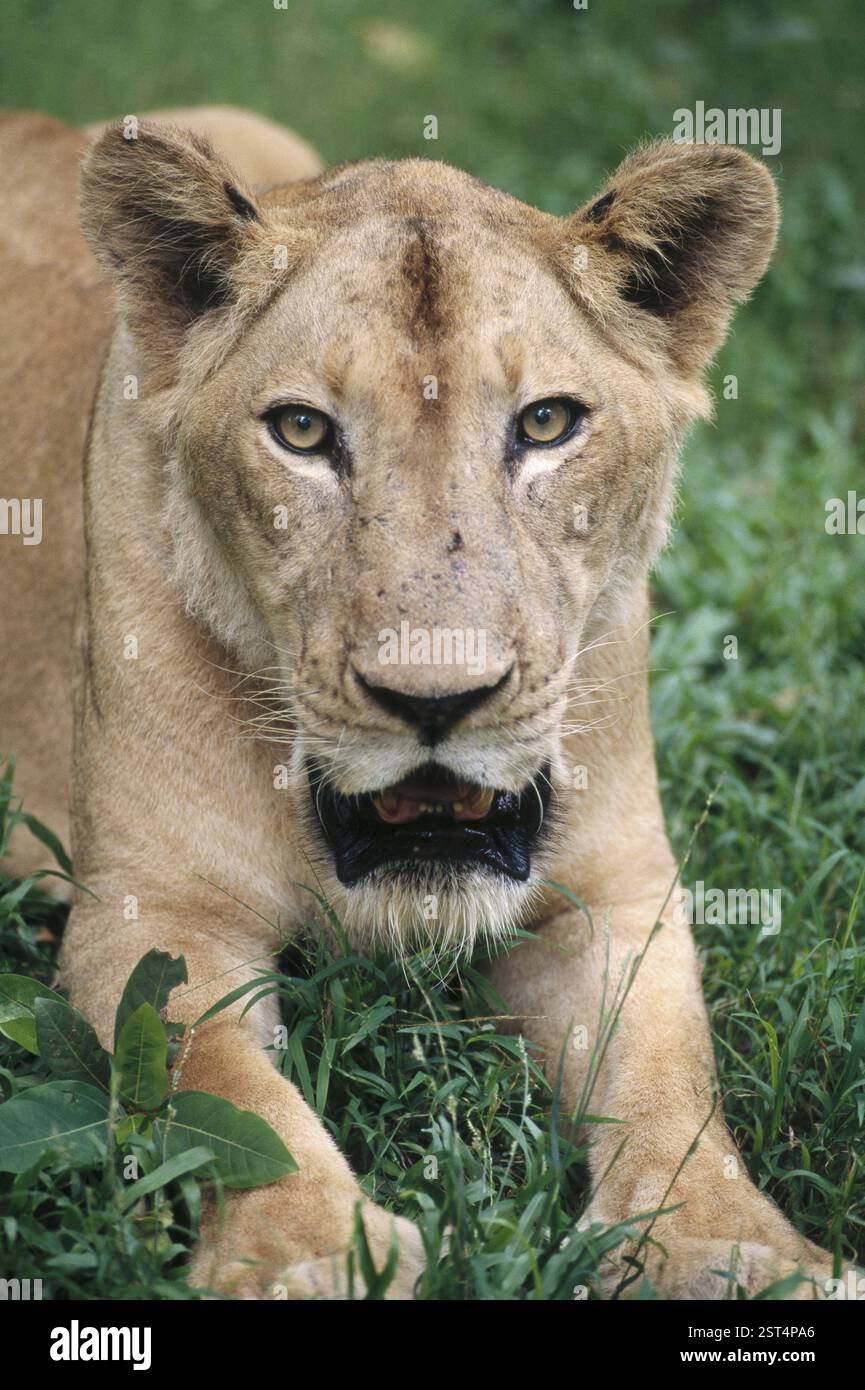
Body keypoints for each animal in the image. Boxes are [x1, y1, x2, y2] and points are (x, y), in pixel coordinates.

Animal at [0, 104, 848, 1299]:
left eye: (545, 423)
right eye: (301, 433)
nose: (435, 700)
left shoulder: (615, 894)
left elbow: (672, 1076)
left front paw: (726, 1249)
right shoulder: (147, 910)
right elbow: (216, 1078)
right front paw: (306, 1253)